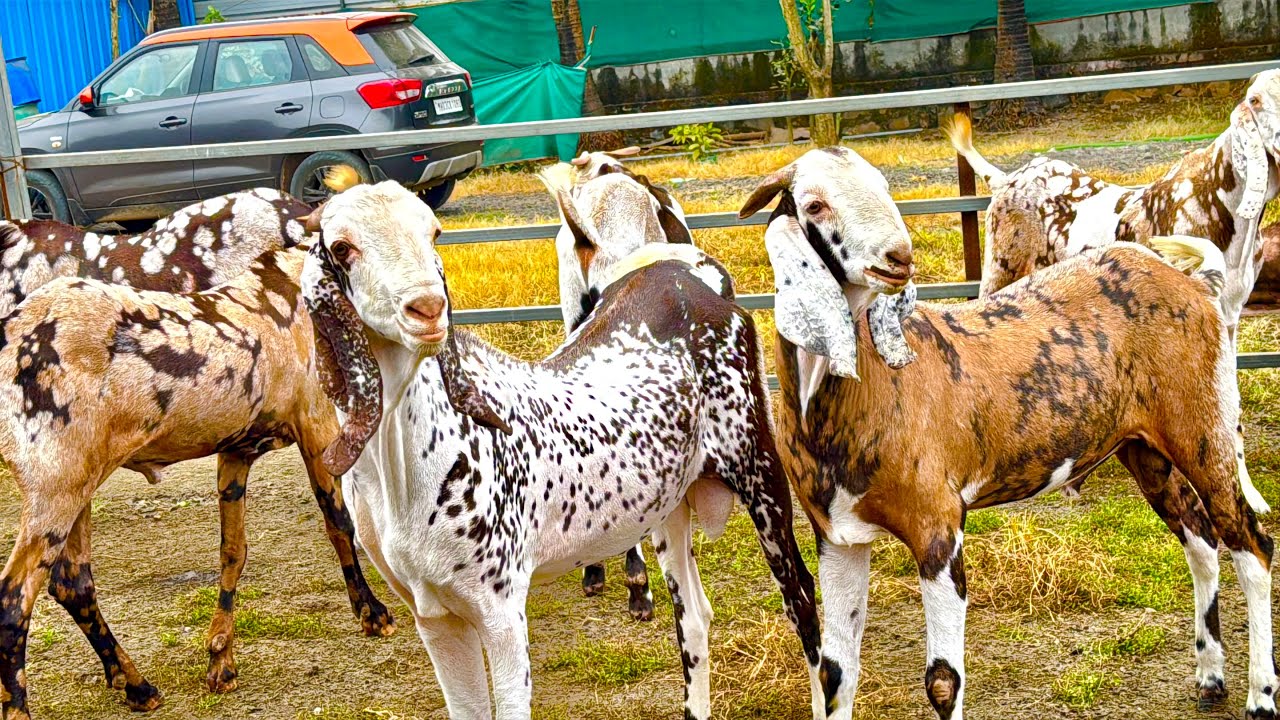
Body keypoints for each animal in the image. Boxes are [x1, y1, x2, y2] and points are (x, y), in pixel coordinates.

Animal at [0, 236, 395, 718]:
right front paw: (372, 613)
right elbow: (339, 524)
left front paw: (221, 660)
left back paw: (136, 685)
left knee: (72, 582)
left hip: (78, 484)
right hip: (55, 487)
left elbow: (233, 552)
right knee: (14, 601)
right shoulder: (315, 422)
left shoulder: (236, 450)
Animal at [300, 174, 835, 720]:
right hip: (669, 508)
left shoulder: (501, 614)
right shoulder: (435, 620)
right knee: (695, 619)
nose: (427, 309)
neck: (410, 464)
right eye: (341, 247)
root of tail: (696, 277)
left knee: (803, 602)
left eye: (433, 232)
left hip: (761, 476)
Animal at [739, 146, 1275, 720]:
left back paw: (1260, 695)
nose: (898, 258)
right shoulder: (837, 536)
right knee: (1201, 539)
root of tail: (1195, 282)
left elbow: (943, 682)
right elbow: (835, 674)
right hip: (1143, 446)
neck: (870, 389)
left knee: (1251, 544)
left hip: (1203, 423)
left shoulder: (938, 526)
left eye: (883, 187)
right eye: (814, 204)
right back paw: (1210, 677)